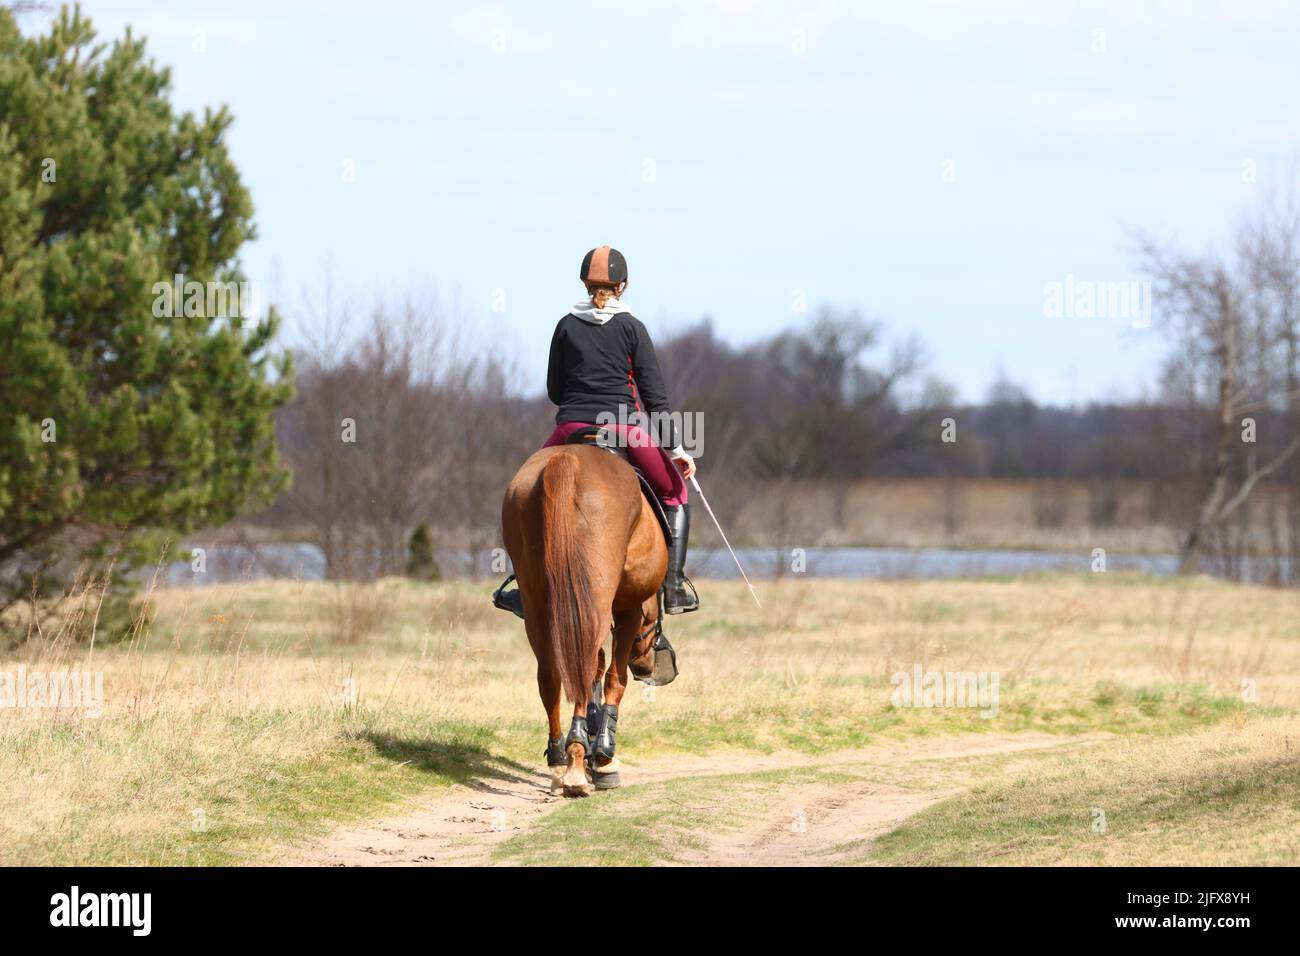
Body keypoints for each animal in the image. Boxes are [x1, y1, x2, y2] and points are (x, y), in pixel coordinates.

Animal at [501, 440, 668, 797]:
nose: (646, 667)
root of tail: (569, 460)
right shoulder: (628, 610)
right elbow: (614, 678)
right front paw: (603, 757)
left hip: (537, 606)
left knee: (551, 675)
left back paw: (559, 762)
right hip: (593, 603)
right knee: (584, 666)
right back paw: (578, 764)